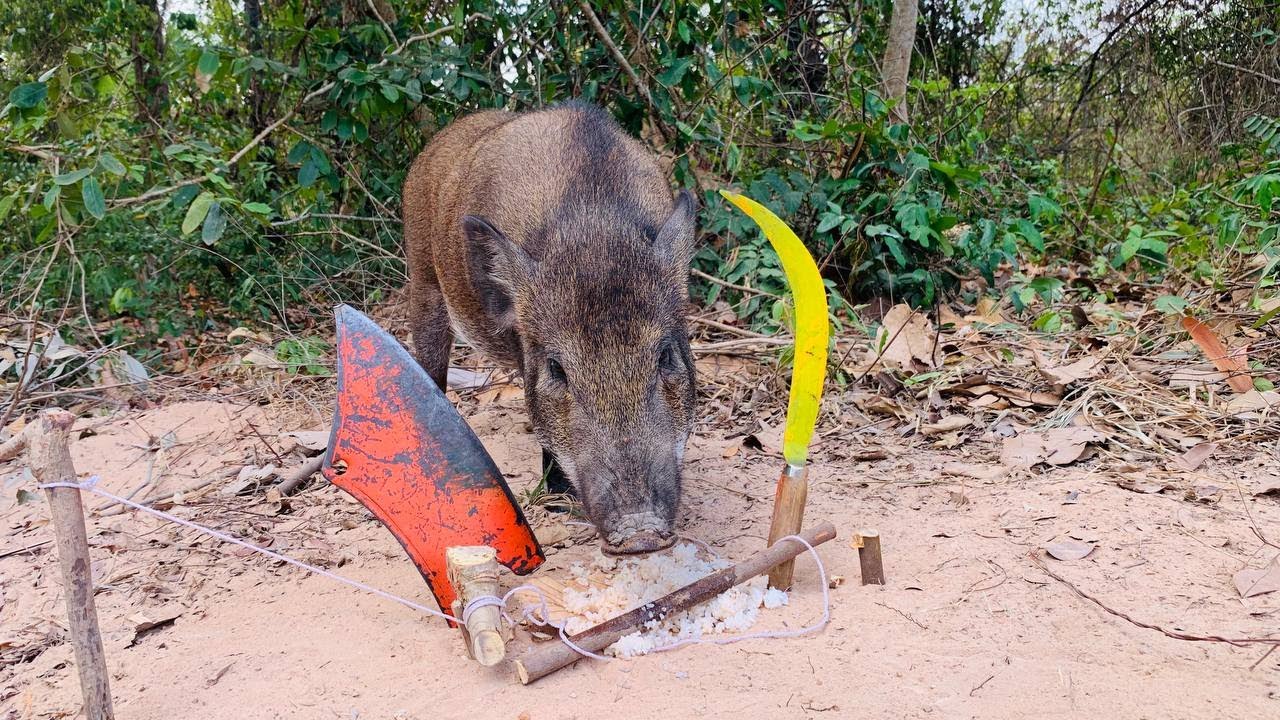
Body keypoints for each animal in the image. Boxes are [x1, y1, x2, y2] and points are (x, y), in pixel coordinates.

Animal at [402, 103, 697, 555]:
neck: (594, 231)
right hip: (422, 279)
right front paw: (559, 502)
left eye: (664, 355)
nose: (640, 532)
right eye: (557, 368)